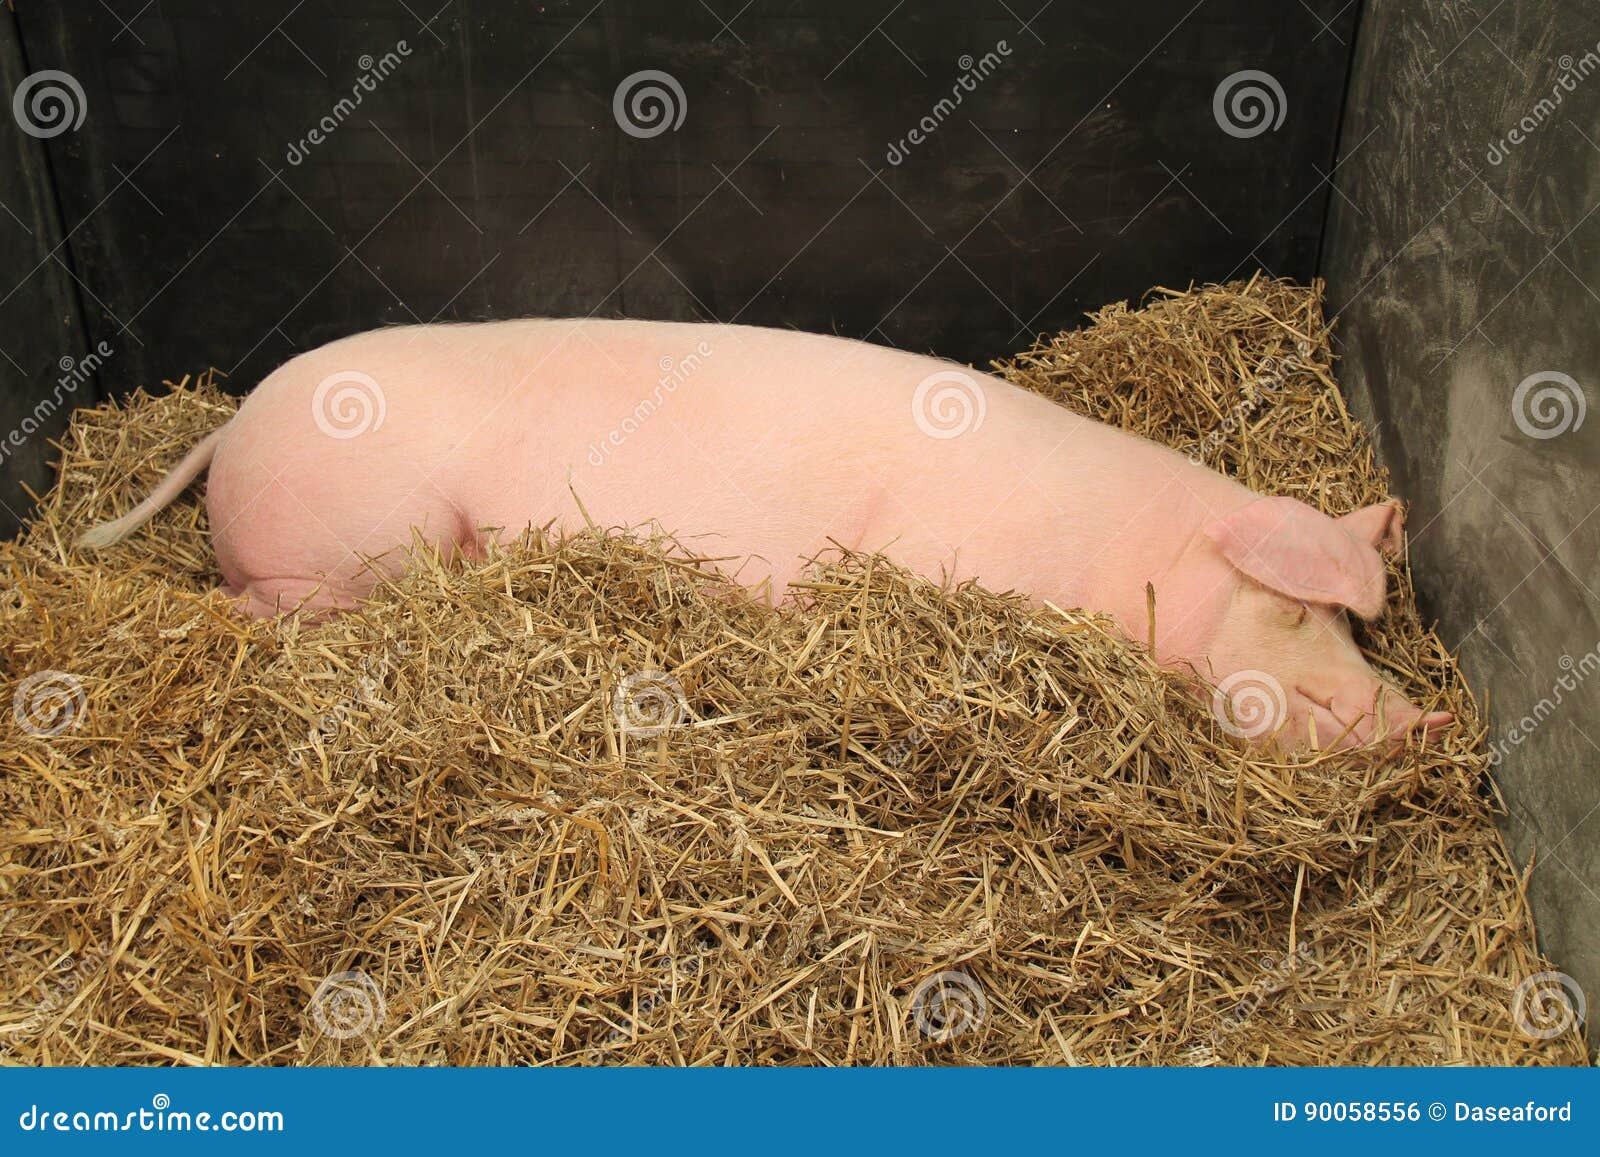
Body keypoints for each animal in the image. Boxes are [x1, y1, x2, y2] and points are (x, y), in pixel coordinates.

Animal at [77, 319, 1452, 750]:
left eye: (1356, 625)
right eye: (1295, 606)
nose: (1419, 719)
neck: (1128, 560)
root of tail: (234, 422)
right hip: (356, 541)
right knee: (259, 604)